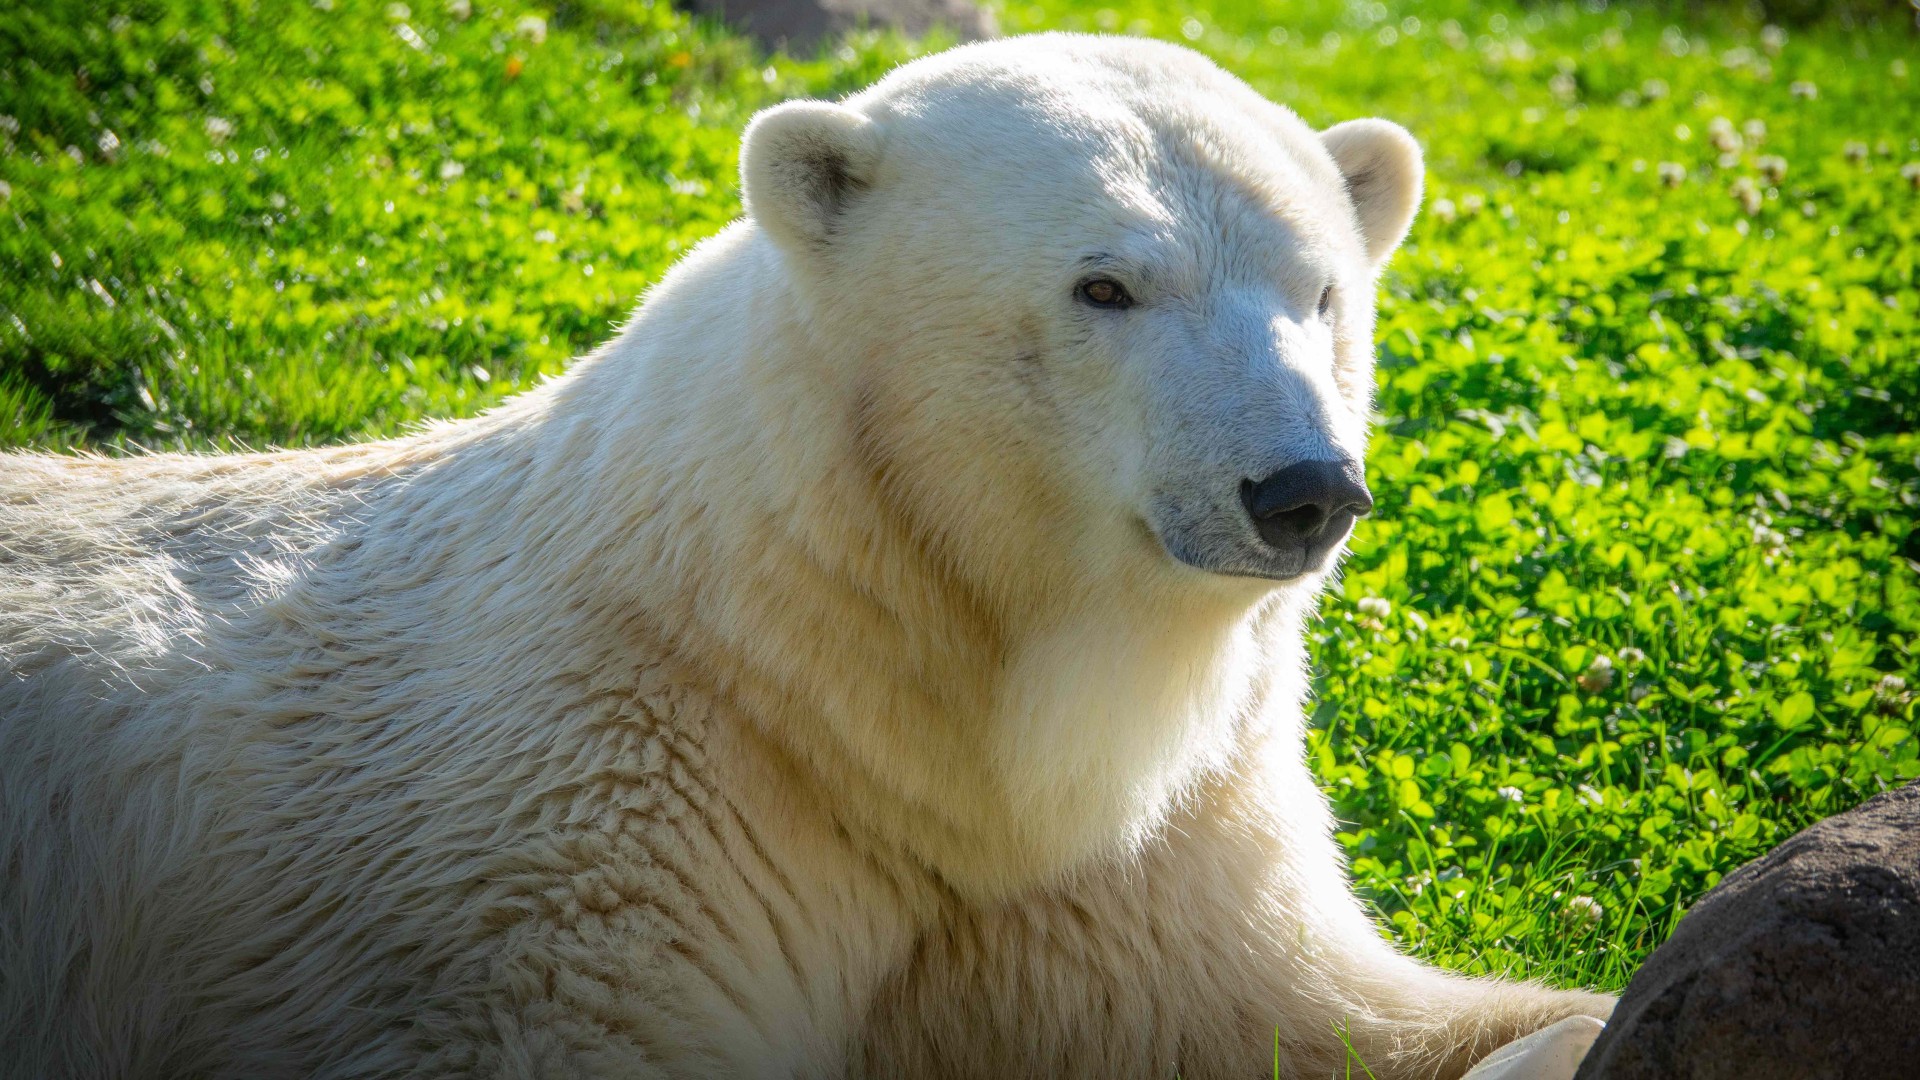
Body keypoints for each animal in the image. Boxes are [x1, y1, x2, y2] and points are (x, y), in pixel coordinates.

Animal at [0, 33, 1612, 1080]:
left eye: (1322, 290)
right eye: (1105, 286)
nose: (1302, 491)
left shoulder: (1131, 865)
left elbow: (1324, 1008)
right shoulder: (589, 836)